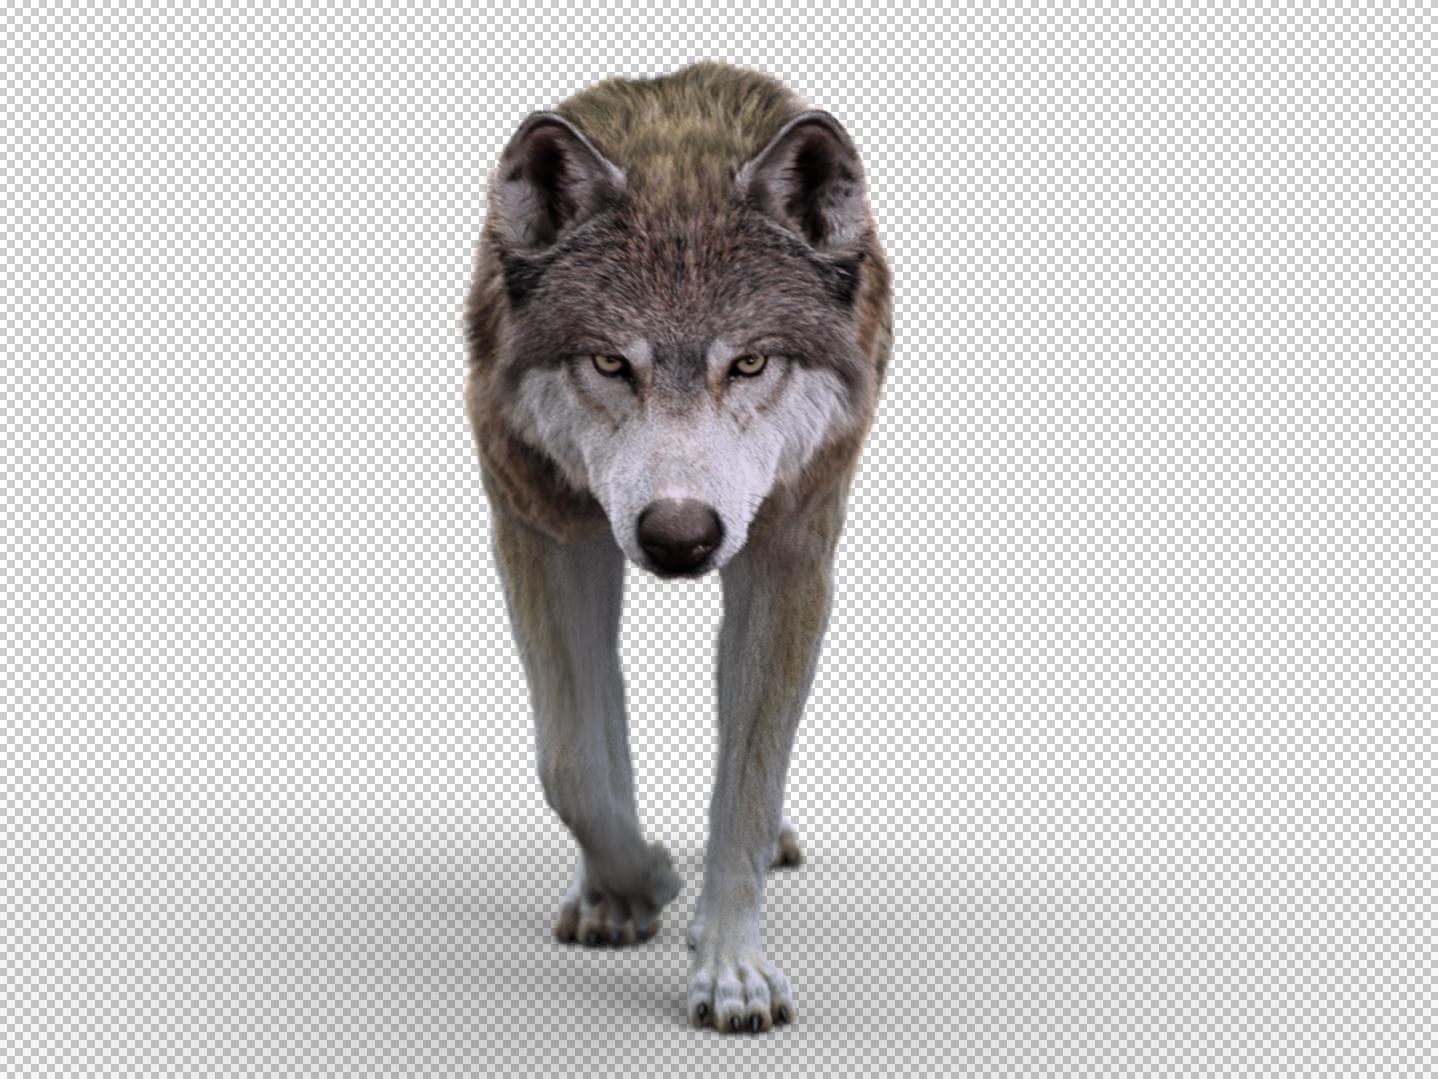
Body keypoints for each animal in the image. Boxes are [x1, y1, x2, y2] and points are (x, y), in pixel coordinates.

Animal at [463, 60, 892, 1032]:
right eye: (611, 363)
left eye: (750, 363)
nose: (681, 536)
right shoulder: (542, 531)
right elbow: (571, 757)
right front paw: (638, 881)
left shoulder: (787, 551)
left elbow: (749, 780)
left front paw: (730, 966)